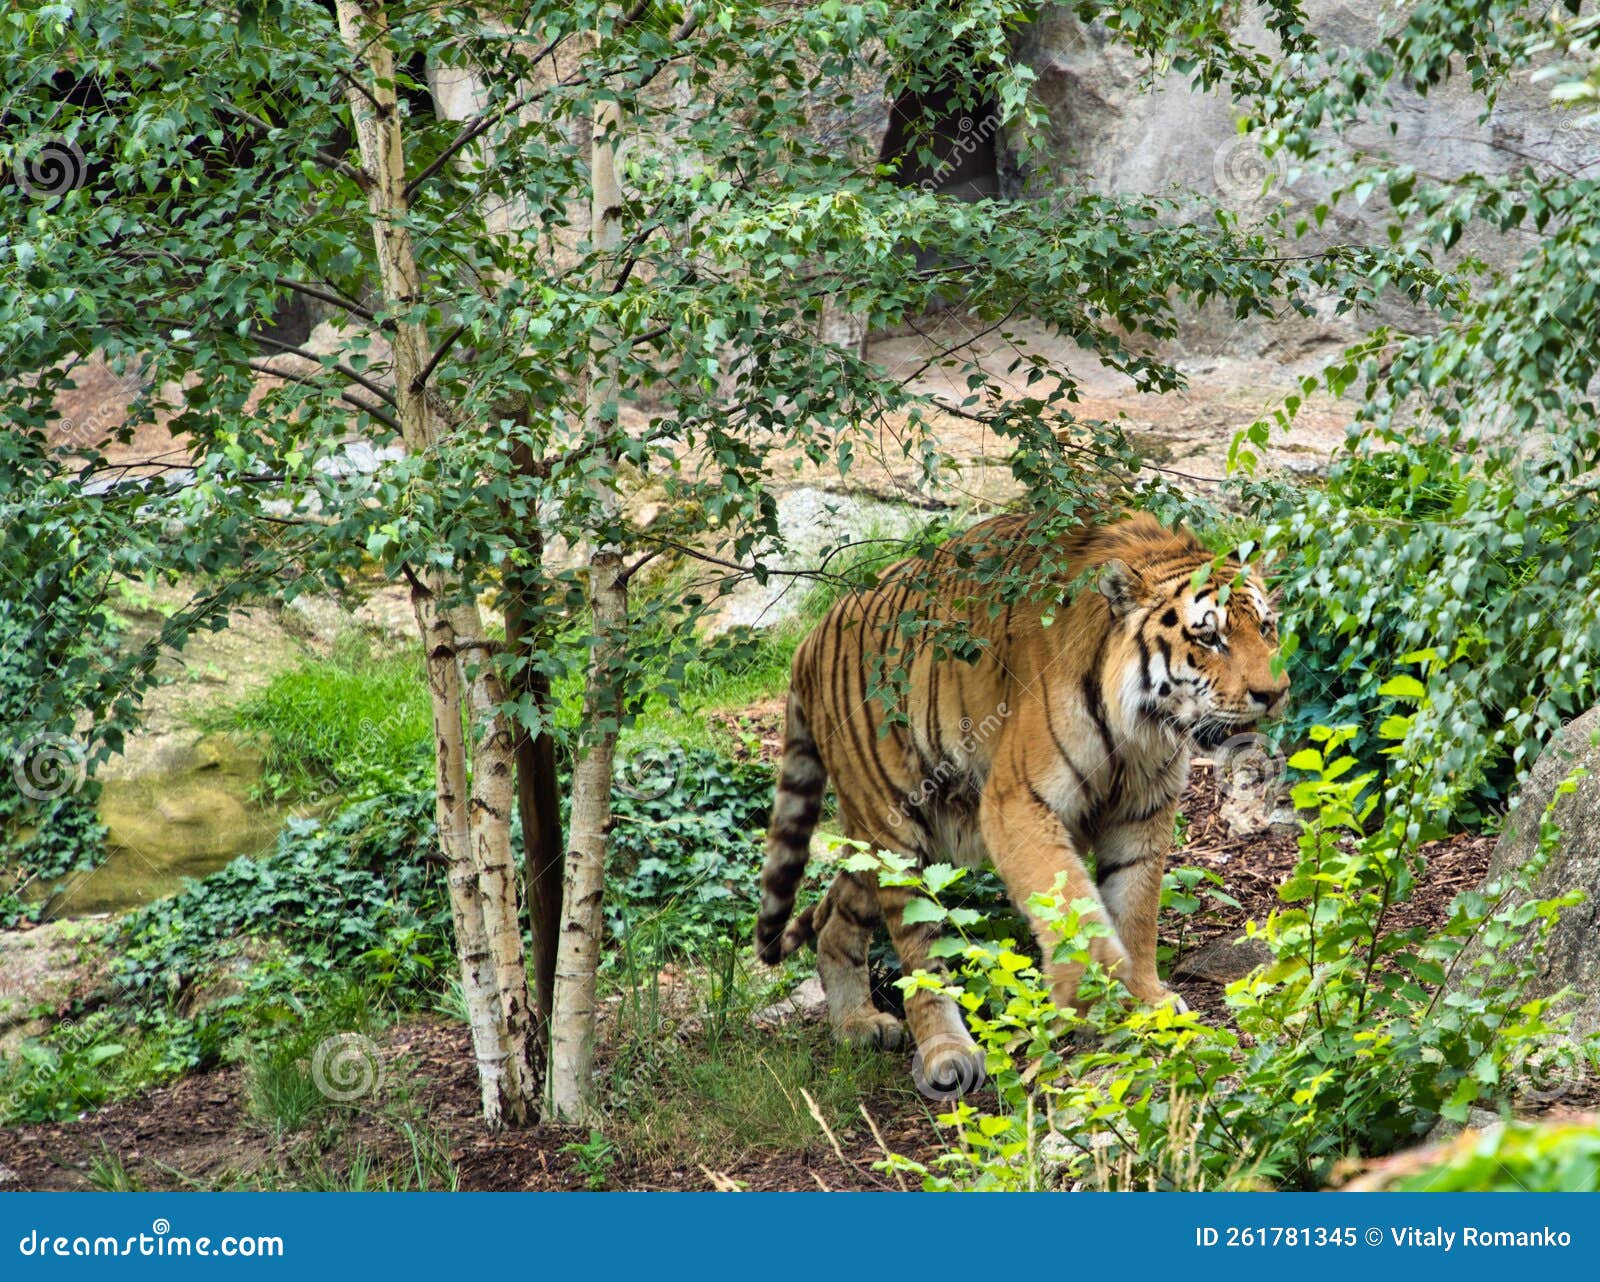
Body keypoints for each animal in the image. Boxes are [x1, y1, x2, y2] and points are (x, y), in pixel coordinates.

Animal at [754, 510, 1288, 1096]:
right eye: (1209, 637)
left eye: (1266, 628)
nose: (1277, 691)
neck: (1142, 725)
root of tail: (811, 638)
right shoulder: (1017, 801)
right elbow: (1069, 900)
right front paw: (1086, 991)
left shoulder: (1142, 811)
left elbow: (1136, 908)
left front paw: (1145, 1000)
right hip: (895, 831)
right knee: (919, 950)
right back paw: (945, 1053)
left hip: (896, 841)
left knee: (833, 914)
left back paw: (856, 1024)